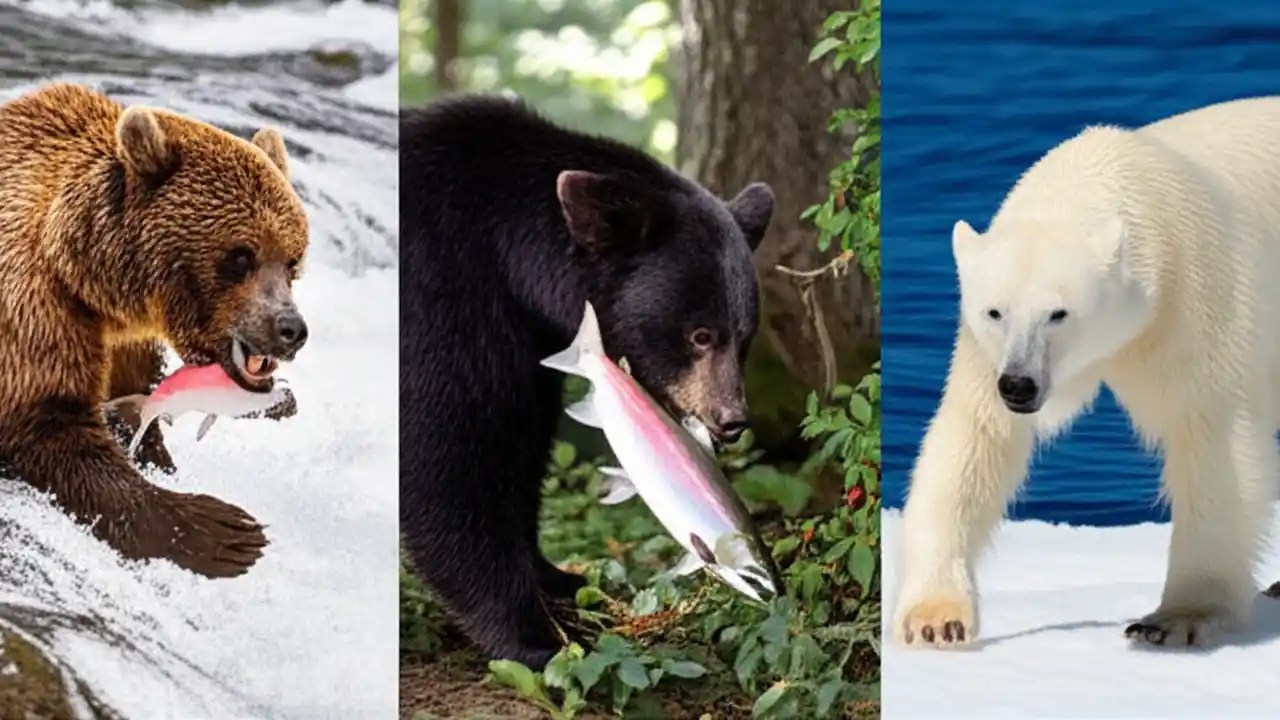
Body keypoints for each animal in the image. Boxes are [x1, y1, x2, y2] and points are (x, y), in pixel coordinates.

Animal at [0, 83, 310, 578]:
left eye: (293, 260)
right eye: (240, 256)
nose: (290, 328)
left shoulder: (127, 338)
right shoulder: (33, 302)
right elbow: (50, 420)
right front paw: (224, 531)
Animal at [399, 95, 775, 667]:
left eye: (745, 335)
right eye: (700, 334)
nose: (731, 418)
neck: (507, 258)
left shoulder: (526, 343)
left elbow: (524, 444)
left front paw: (557, 577)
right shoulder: (438, 296)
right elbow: (446, 457)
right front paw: (535, 635)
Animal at [893, 97, 1280, 649]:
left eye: (1059, 313)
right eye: (996, 311)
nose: (1019, 385)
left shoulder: (1198, 298)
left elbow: (1211, 443)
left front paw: (1176, 617)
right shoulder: (982, 353)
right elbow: (975, 438)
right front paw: (935, 618)